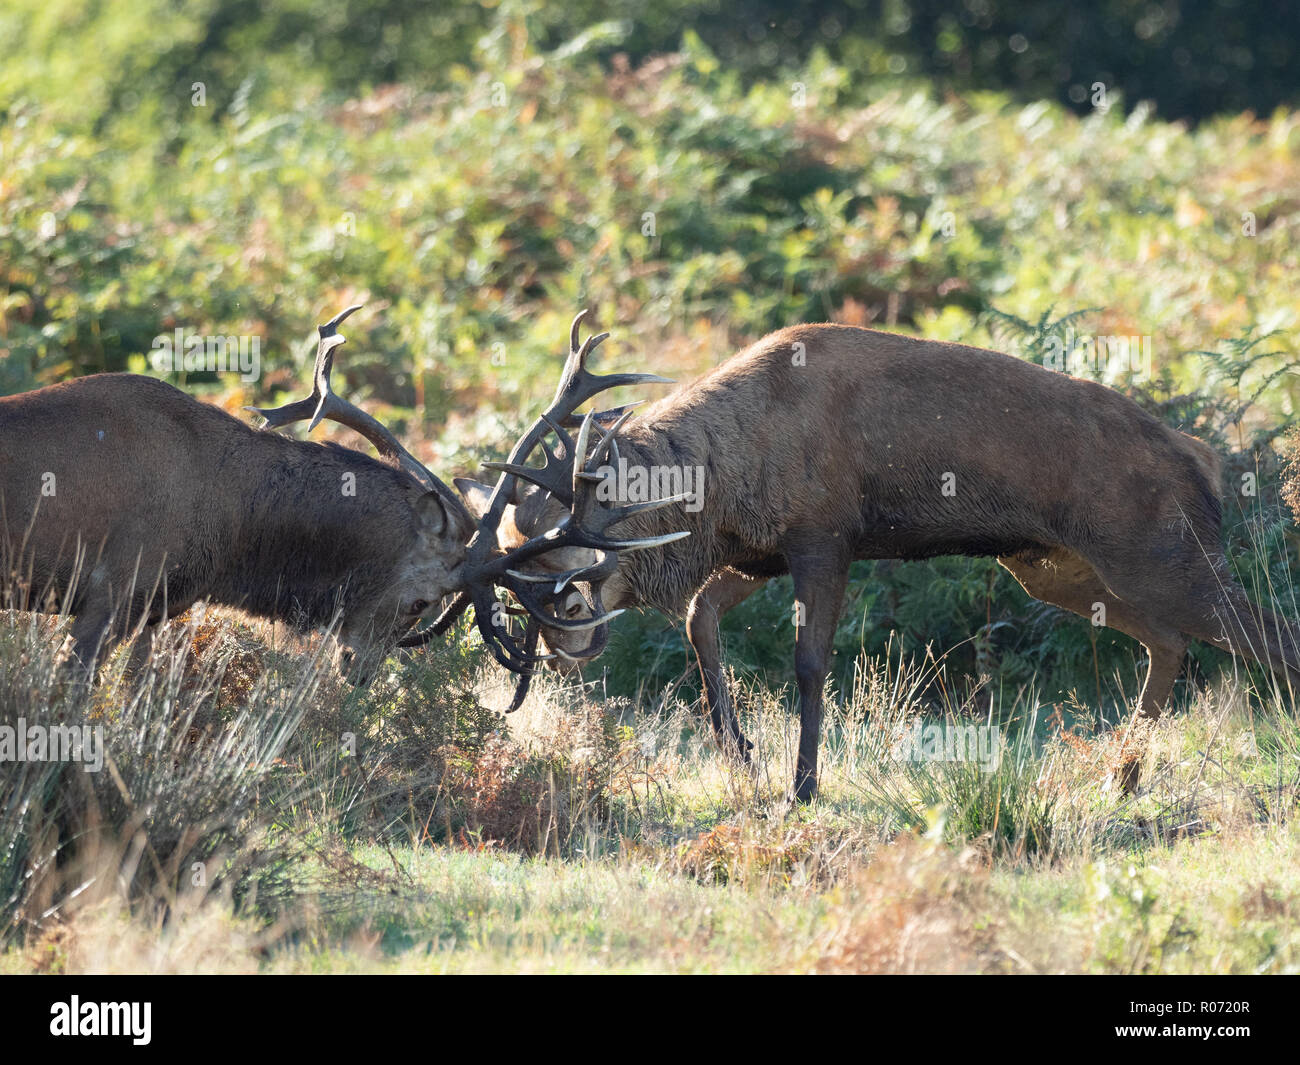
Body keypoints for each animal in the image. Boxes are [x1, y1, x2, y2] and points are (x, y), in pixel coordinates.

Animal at [450, 312, 1300, 802]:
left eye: (564, 571)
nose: (567, 645)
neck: (728, 486)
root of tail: (1204, 461)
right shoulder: (756, 553)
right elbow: (698, 616)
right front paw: (742, 756)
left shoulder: (826, 533)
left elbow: (808, 661)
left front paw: (803, 785)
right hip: (1055, 565)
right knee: (1169, 641)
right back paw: (1121, 775)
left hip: (1162, 549)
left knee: (1265, 637)